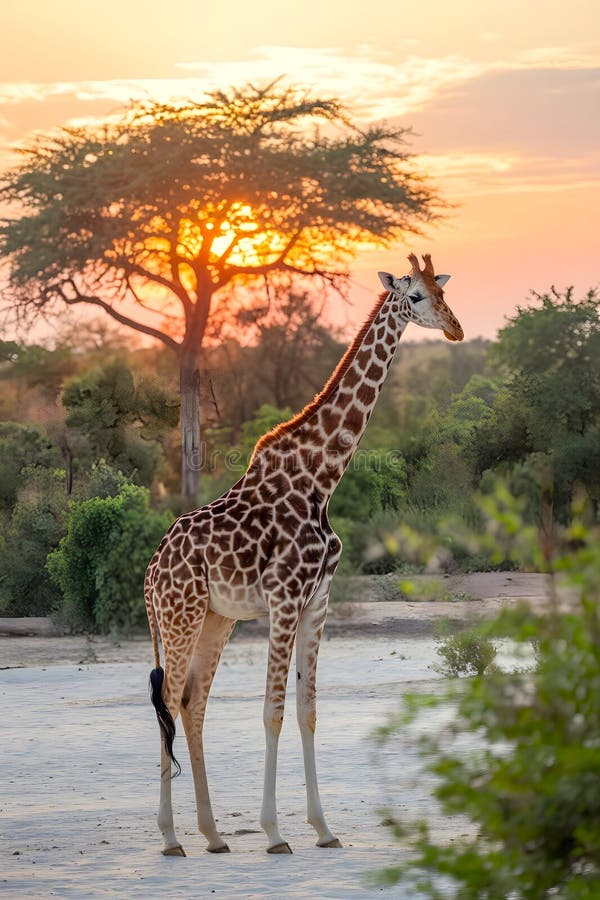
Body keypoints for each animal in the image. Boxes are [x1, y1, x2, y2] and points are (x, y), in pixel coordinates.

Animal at [145, 253, 464, 857]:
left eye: (443, 289)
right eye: (414, 295)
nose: (456, 329)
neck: (322, 478)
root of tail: (150, 573)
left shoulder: (318, 600)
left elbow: (307, 710)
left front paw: (323, 828)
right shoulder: (285, 598)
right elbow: (271, 710)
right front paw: (274, 833)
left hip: (216, 618)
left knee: (193, 703)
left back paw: (213, 835)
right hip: (180, 617)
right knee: (169, 702)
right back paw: (172, 837)